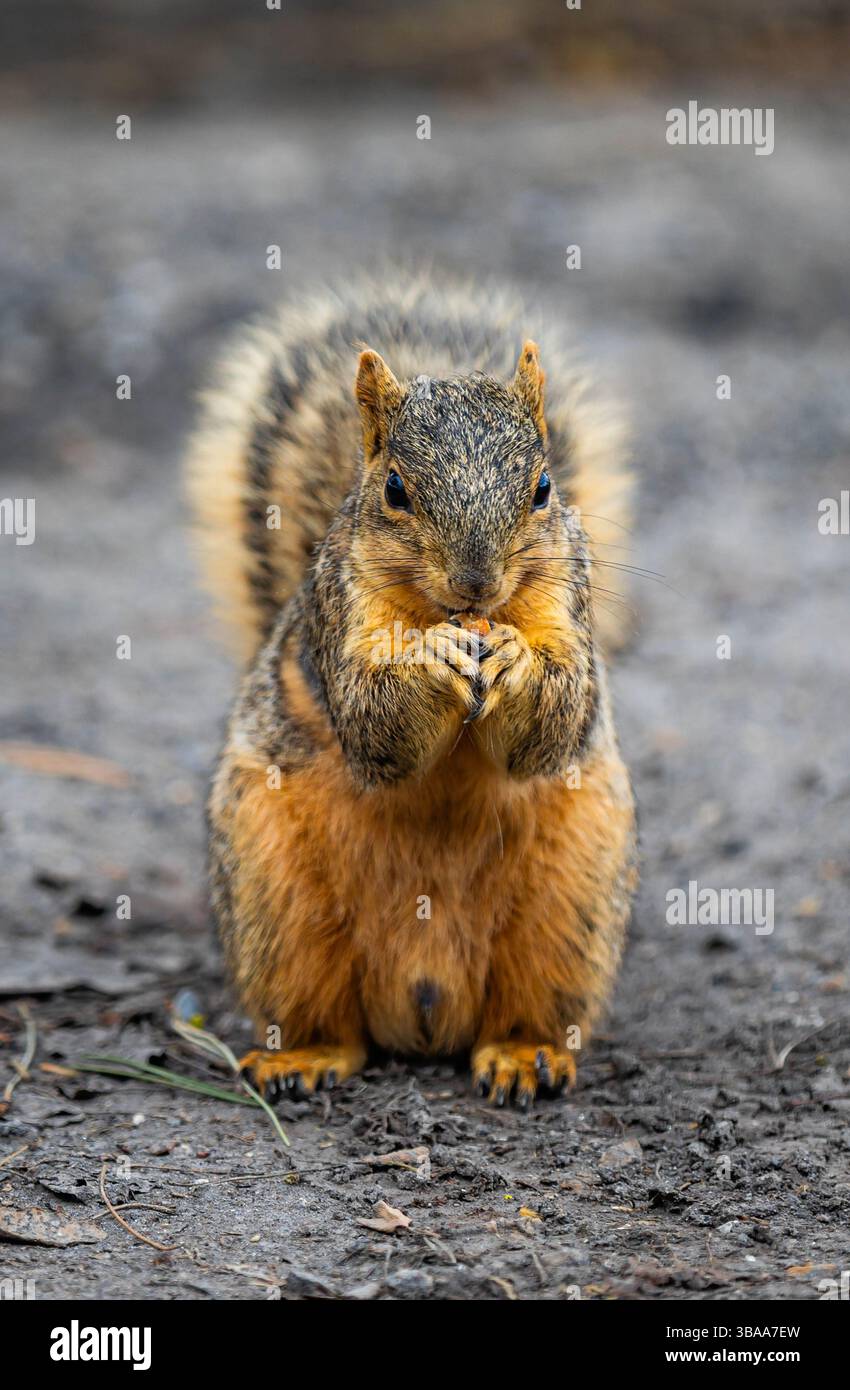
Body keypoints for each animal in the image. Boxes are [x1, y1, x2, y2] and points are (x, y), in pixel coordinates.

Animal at [185, 272, 638, 1108]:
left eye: (543, 487)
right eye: (395, 488)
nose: (476, 582)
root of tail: (424, 1005)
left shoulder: (570, 605)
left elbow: (556, 723)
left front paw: (515, 661)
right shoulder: (338, 614)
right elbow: (371, 725)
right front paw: (430, 658)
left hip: (573, 908)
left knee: (528, 1007)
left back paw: (524, 1056)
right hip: (274, 905)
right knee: (326, 1018)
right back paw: (303, 1058)